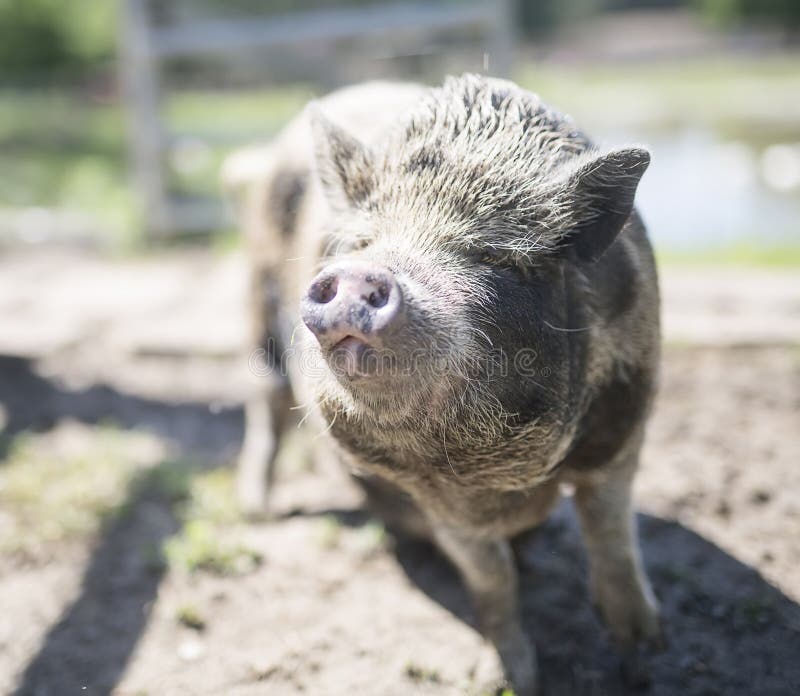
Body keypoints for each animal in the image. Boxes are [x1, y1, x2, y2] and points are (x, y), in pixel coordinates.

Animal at [228, 74, 661, 694]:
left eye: (496, 257)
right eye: (362, 243)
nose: (363, 273)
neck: (495, 476)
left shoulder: (626, 422)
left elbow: (610, 530)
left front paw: (644, 647)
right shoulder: (436, 502)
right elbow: (490, 580)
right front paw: (504, 679)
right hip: (257, 296)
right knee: (264, 400)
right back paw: (257, 512)